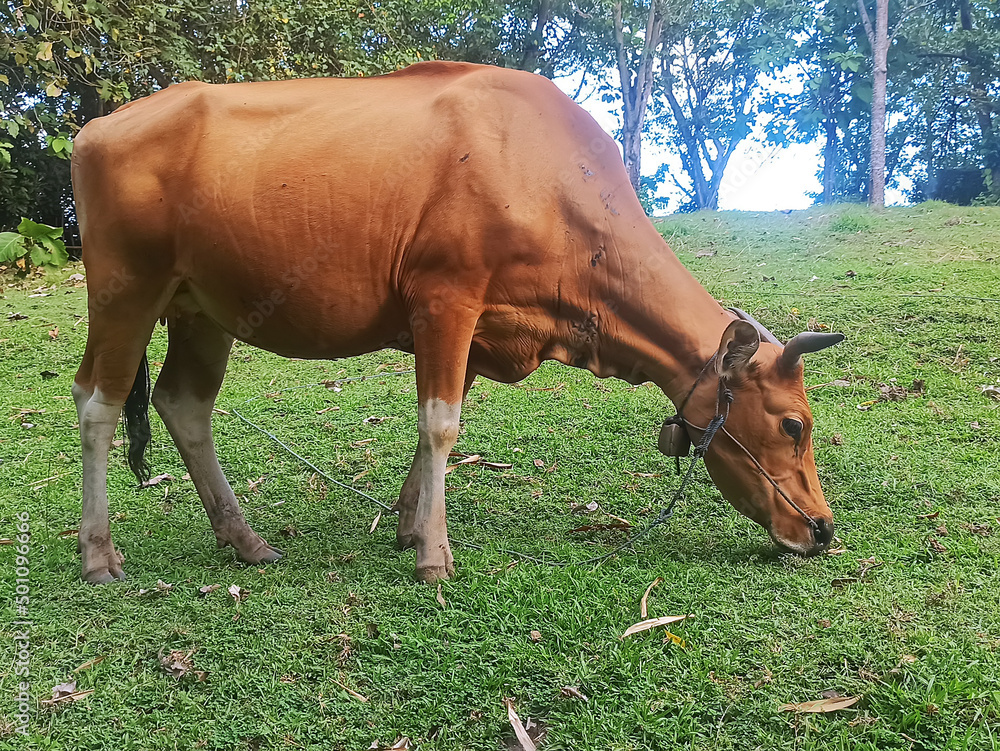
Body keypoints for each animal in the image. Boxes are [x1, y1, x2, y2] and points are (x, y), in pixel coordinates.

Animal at [70, 61, 843, 585]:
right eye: (793, 425)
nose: (822, 528)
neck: (550, 179)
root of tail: (98, 127)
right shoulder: (445, 300)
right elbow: (441, 425)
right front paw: (435, 555)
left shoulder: (473, 331)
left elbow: (433, 430)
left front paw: (410, 527)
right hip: (124, 293)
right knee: (97, 403)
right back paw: (99, 552)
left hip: (202, 310)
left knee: (182, 404)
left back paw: (244, 538)